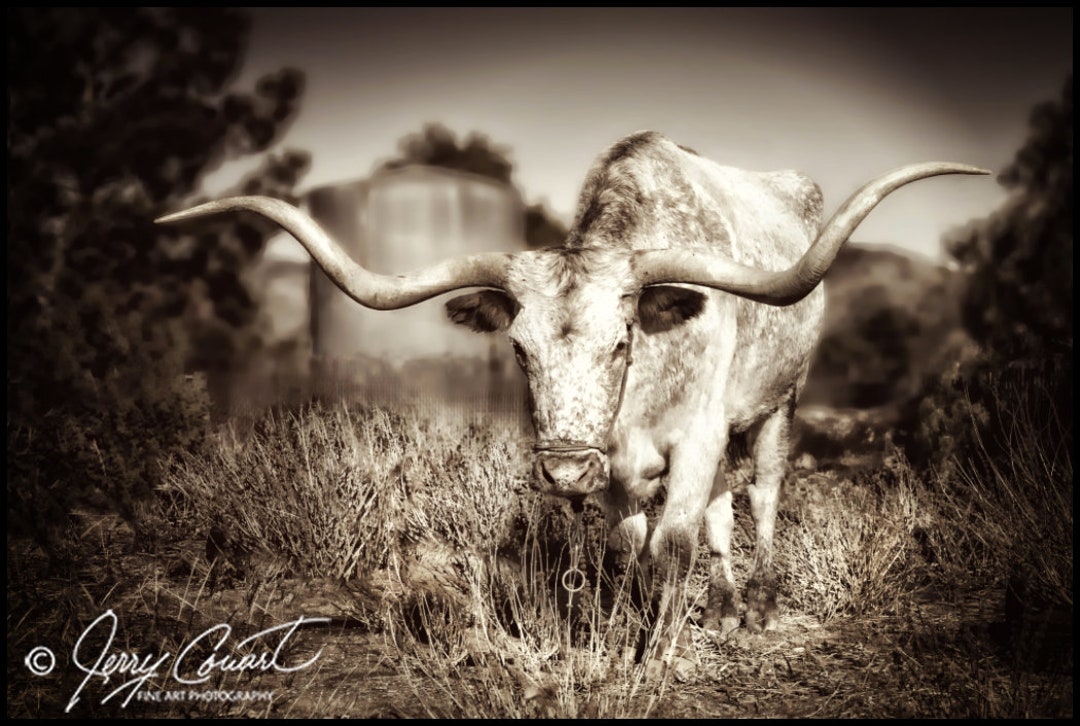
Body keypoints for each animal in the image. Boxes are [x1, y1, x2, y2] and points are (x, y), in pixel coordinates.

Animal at [157, 131, 987, 671]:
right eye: (520, 350)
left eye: (622, 340)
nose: (562, 473)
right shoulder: (624, 465)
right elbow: (629, 551)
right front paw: (626, 636)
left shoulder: (696, 435)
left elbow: (671, 546)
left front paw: (655, 654)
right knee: (723, 508)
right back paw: (721, 605)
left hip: (778, 402)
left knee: (762, 495)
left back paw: (755, 604)